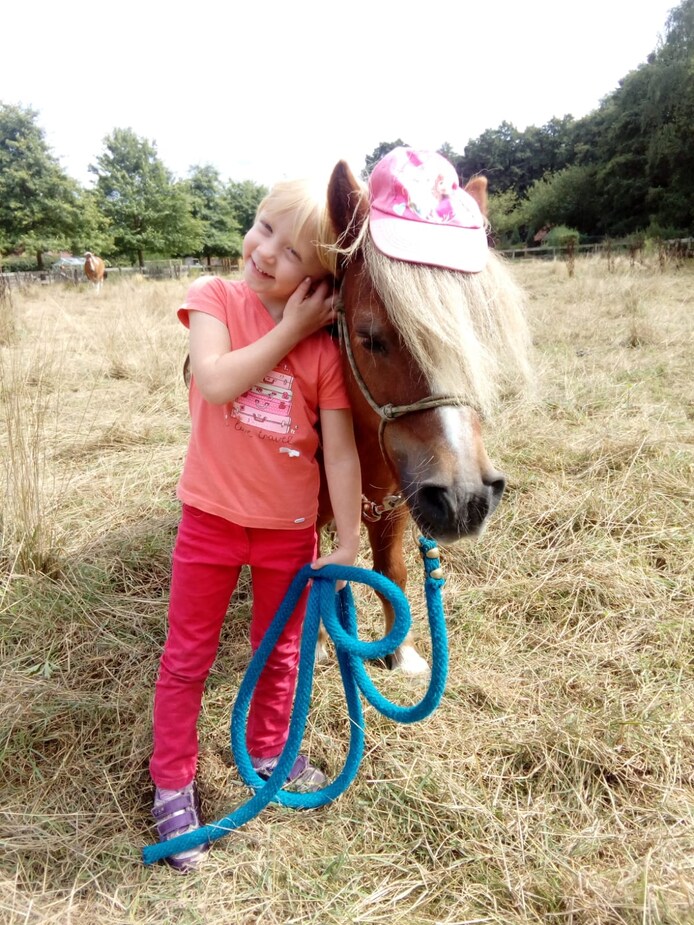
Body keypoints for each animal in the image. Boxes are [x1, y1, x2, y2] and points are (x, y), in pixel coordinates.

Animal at [316, 160, 532, 675]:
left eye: (480, 338)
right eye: (370, 338)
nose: (466, 497)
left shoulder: (394, 505)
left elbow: (391, 571)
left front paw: (404, 654)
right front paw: (313, 645)